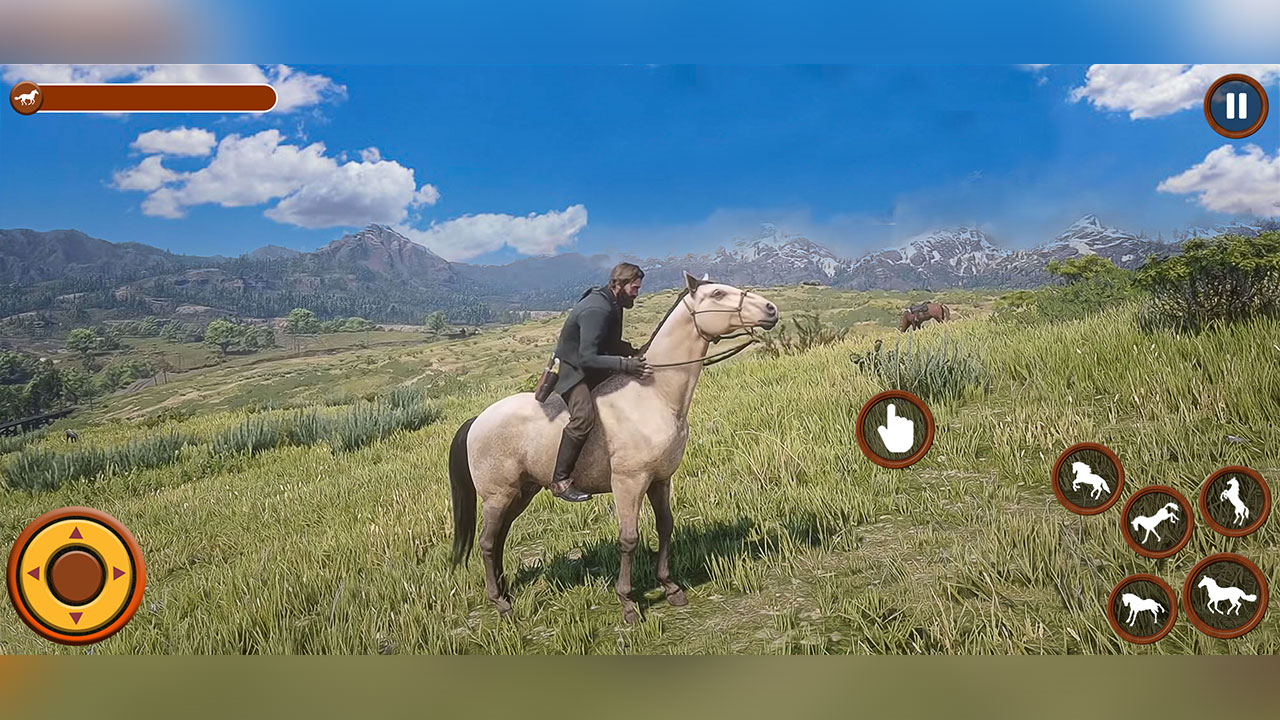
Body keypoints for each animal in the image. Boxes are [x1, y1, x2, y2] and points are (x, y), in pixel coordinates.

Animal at [449, 272, 779, 623]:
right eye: (717, 293)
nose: (770, 309)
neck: (654, 396)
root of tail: (477, 420)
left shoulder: (660, 480)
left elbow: (665, 526)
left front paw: (670, 586)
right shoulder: (628, 483)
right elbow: (629, 539)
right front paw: (628, 602)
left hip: (522, 492)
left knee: (499, 539)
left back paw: (506, 591)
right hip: (498, 496)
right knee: (487, 543)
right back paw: (500, 602)